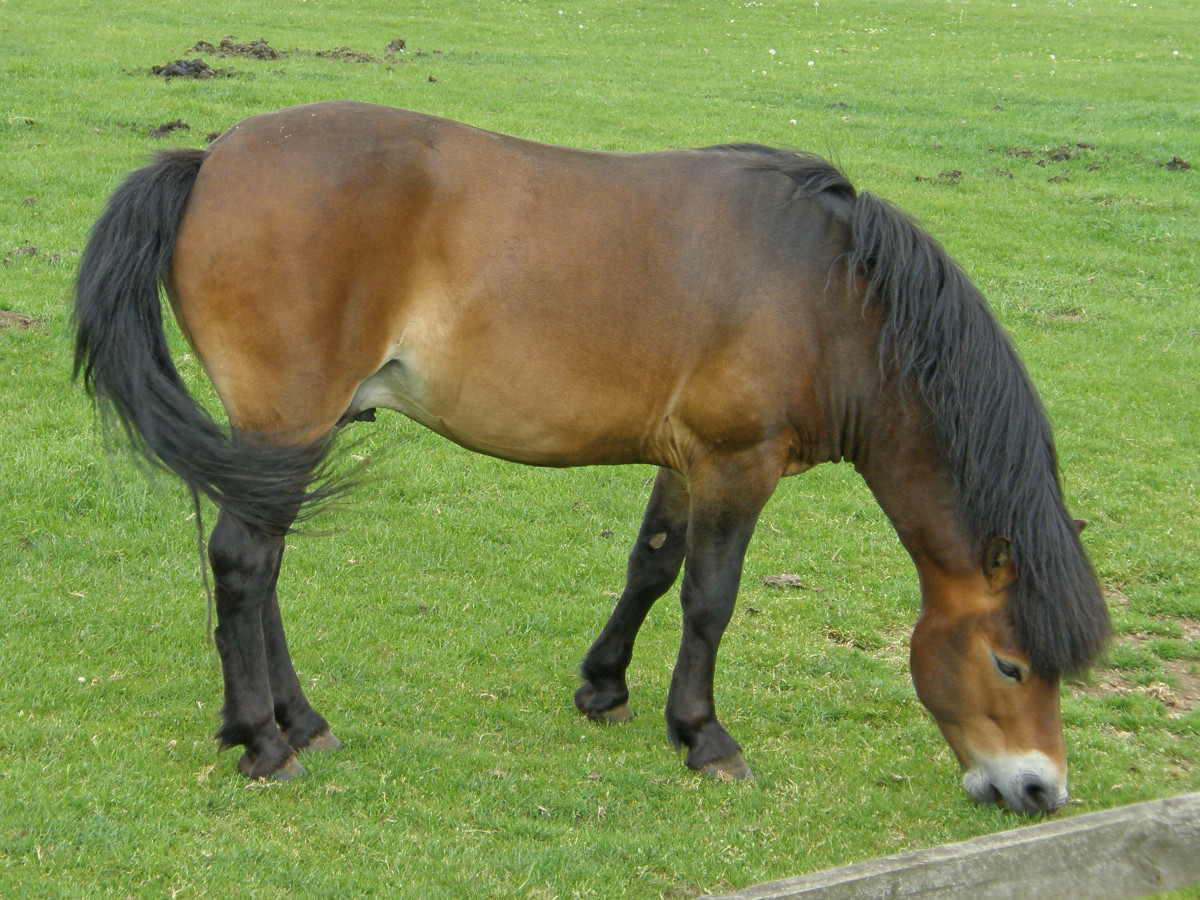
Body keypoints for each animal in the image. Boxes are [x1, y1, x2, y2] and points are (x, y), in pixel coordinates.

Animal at [73, 101, 1110, 814]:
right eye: (1012, 664)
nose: (1039, 792)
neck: (831, 295)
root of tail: (209, 161)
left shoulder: (687, 461)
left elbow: (651, 566)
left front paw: (606, 687)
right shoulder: (739, 464)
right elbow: (709, 598)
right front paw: (705, 736)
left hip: (286, 442)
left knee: (262, 570)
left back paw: (300, 722)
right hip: (289, 427)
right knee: (245, 566)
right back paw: (262, 740)